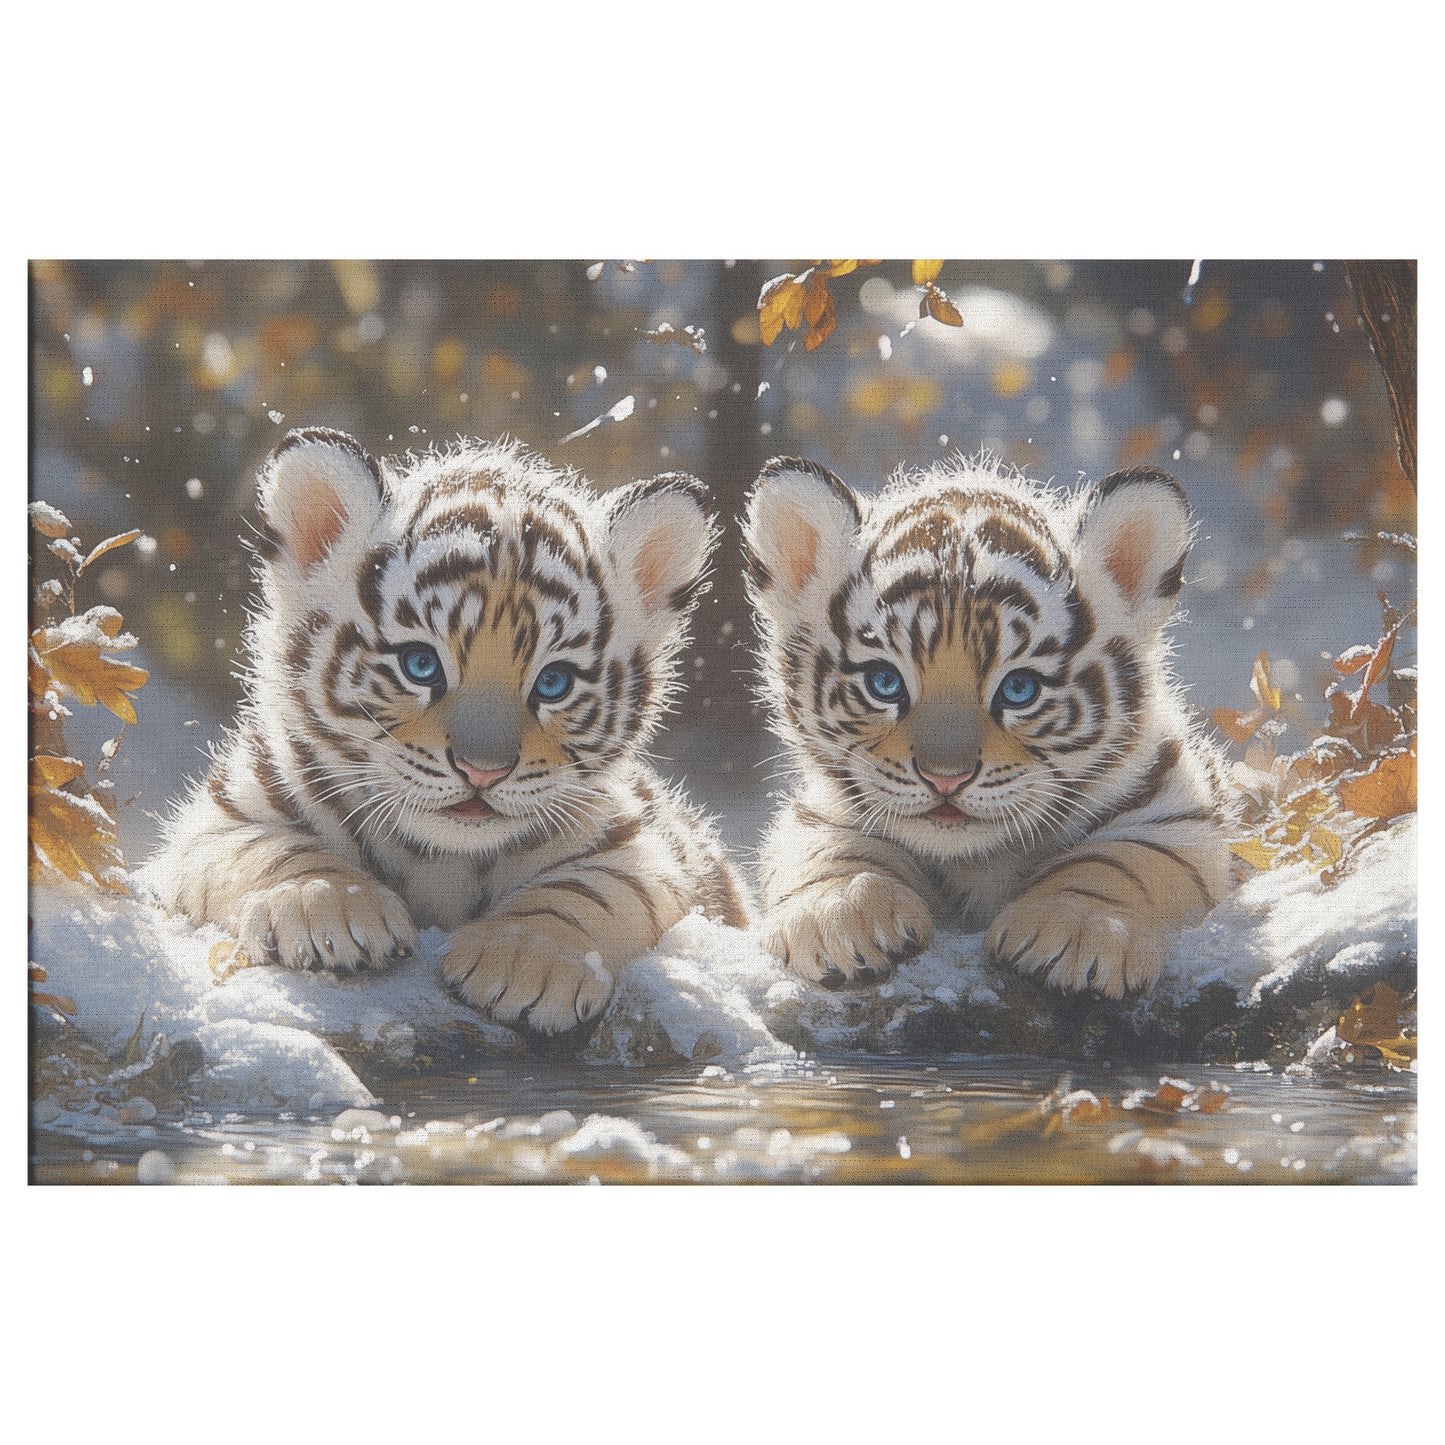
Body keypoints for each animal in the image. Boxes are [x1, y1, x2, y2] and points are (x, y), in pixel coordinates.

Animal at [139, 428, 748, 1035]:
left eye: (553, 682)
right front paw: (325, 905)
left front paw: (525, 958)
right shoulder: (216, 820)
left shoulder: (645, 845)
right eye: (420, 664)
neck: (441, 860)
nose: (483, 772)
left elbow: (589, 889)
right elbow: (270, 850)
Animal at [741, 453, 1234, 1000]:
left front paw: (1078, 929)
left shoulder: (1177, 810)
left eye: (1019, 689)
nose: (945, 779)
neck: (976, 859)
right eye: (884, 682)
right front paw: (842, 914)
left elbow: (1119, 859)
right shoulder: (822, 810)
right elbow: (833, 851)